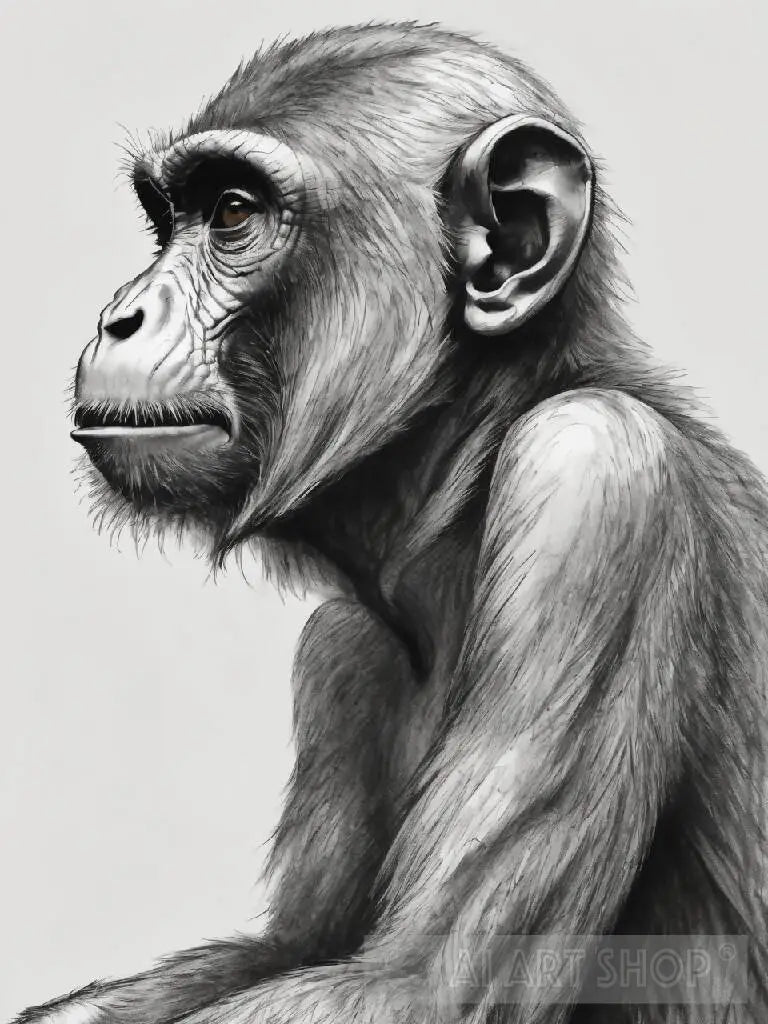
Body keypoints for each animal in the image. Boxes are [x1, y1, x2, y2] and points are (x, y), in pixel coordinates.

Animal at [14, 19, 768, 1024]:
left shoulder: (596, 484)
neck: (462, 485)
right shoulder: (343, 649)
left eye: (233, 213)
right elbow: (295, 951)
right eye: (166, 220)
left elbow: (420, 982)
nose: (121, 314)